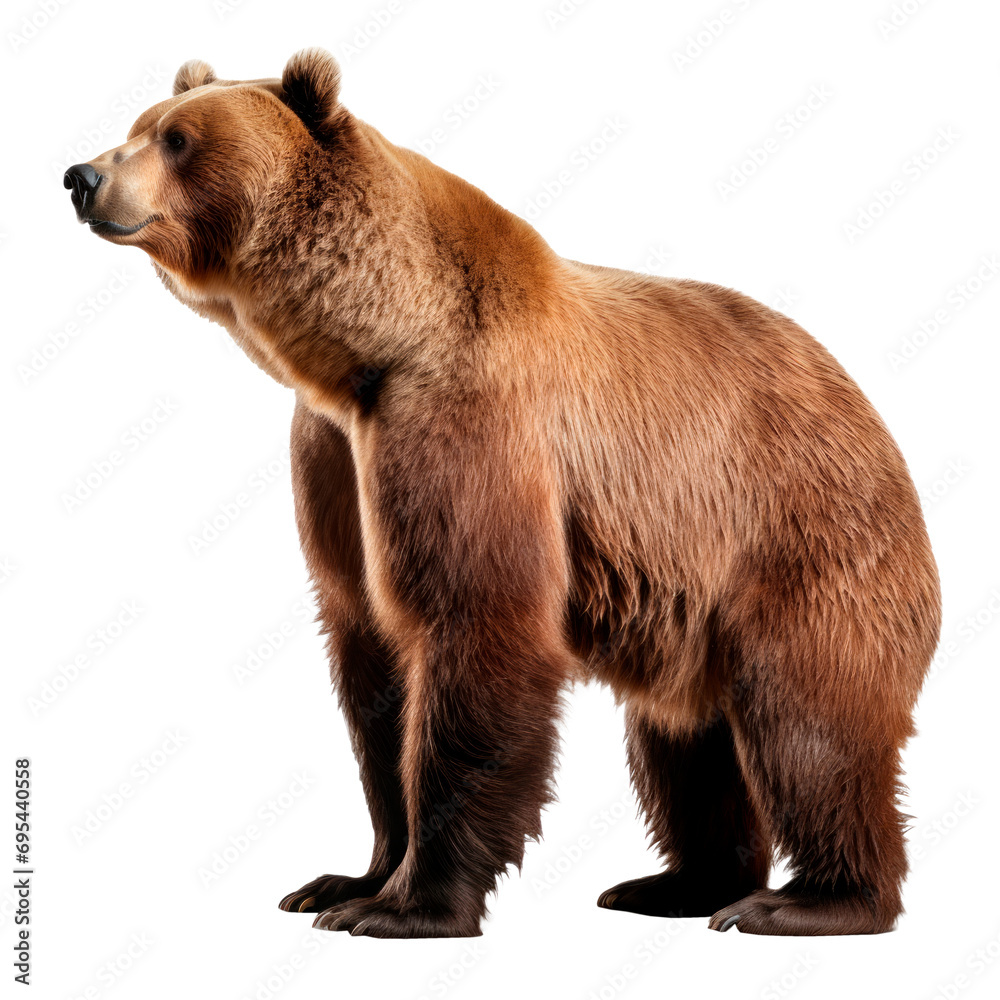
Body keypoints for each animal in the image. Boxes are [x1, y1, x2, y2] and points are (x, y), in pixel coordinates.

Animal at [64, 49, 941, 939]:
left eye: (177, 139)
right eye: (141, 125)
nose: (82, 176)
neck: (364, 350)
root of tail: (865, 405)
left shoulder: (469, 421)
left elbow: (473, 620)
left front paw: (404, 904)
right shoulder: (335, 456)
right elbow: (369, 660)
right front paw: (341, 881)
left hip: (798, 536)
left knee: (806, 724)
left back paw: (808, 900)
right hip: (689, 604)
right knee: (683, 739)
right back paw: (675, 885)